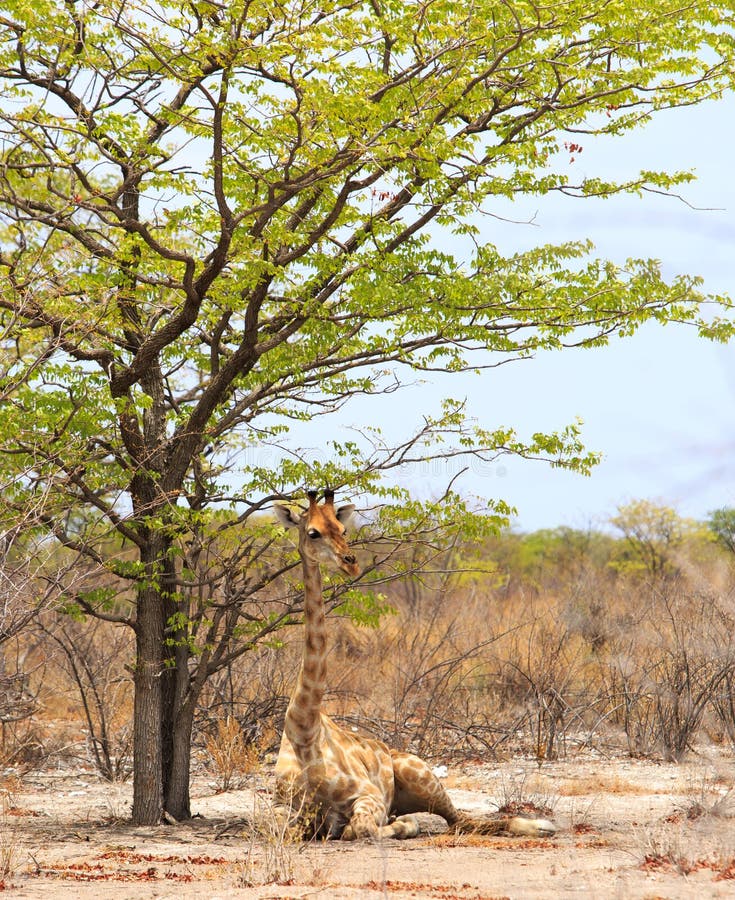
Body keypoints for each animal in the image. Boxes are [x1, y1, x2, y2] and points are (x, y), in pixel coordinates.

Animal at [273, 489, 556, 841]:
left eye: (343, 529)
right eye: (313, 532)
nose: (351, 562)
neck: (304, 734)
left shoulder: (367, 795)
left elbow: (360, 828)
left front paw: (400, 825)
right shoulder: (279, 806)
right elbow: (287, 827)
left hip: (419, 774)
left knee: (461, 820)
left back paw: (538, 825)